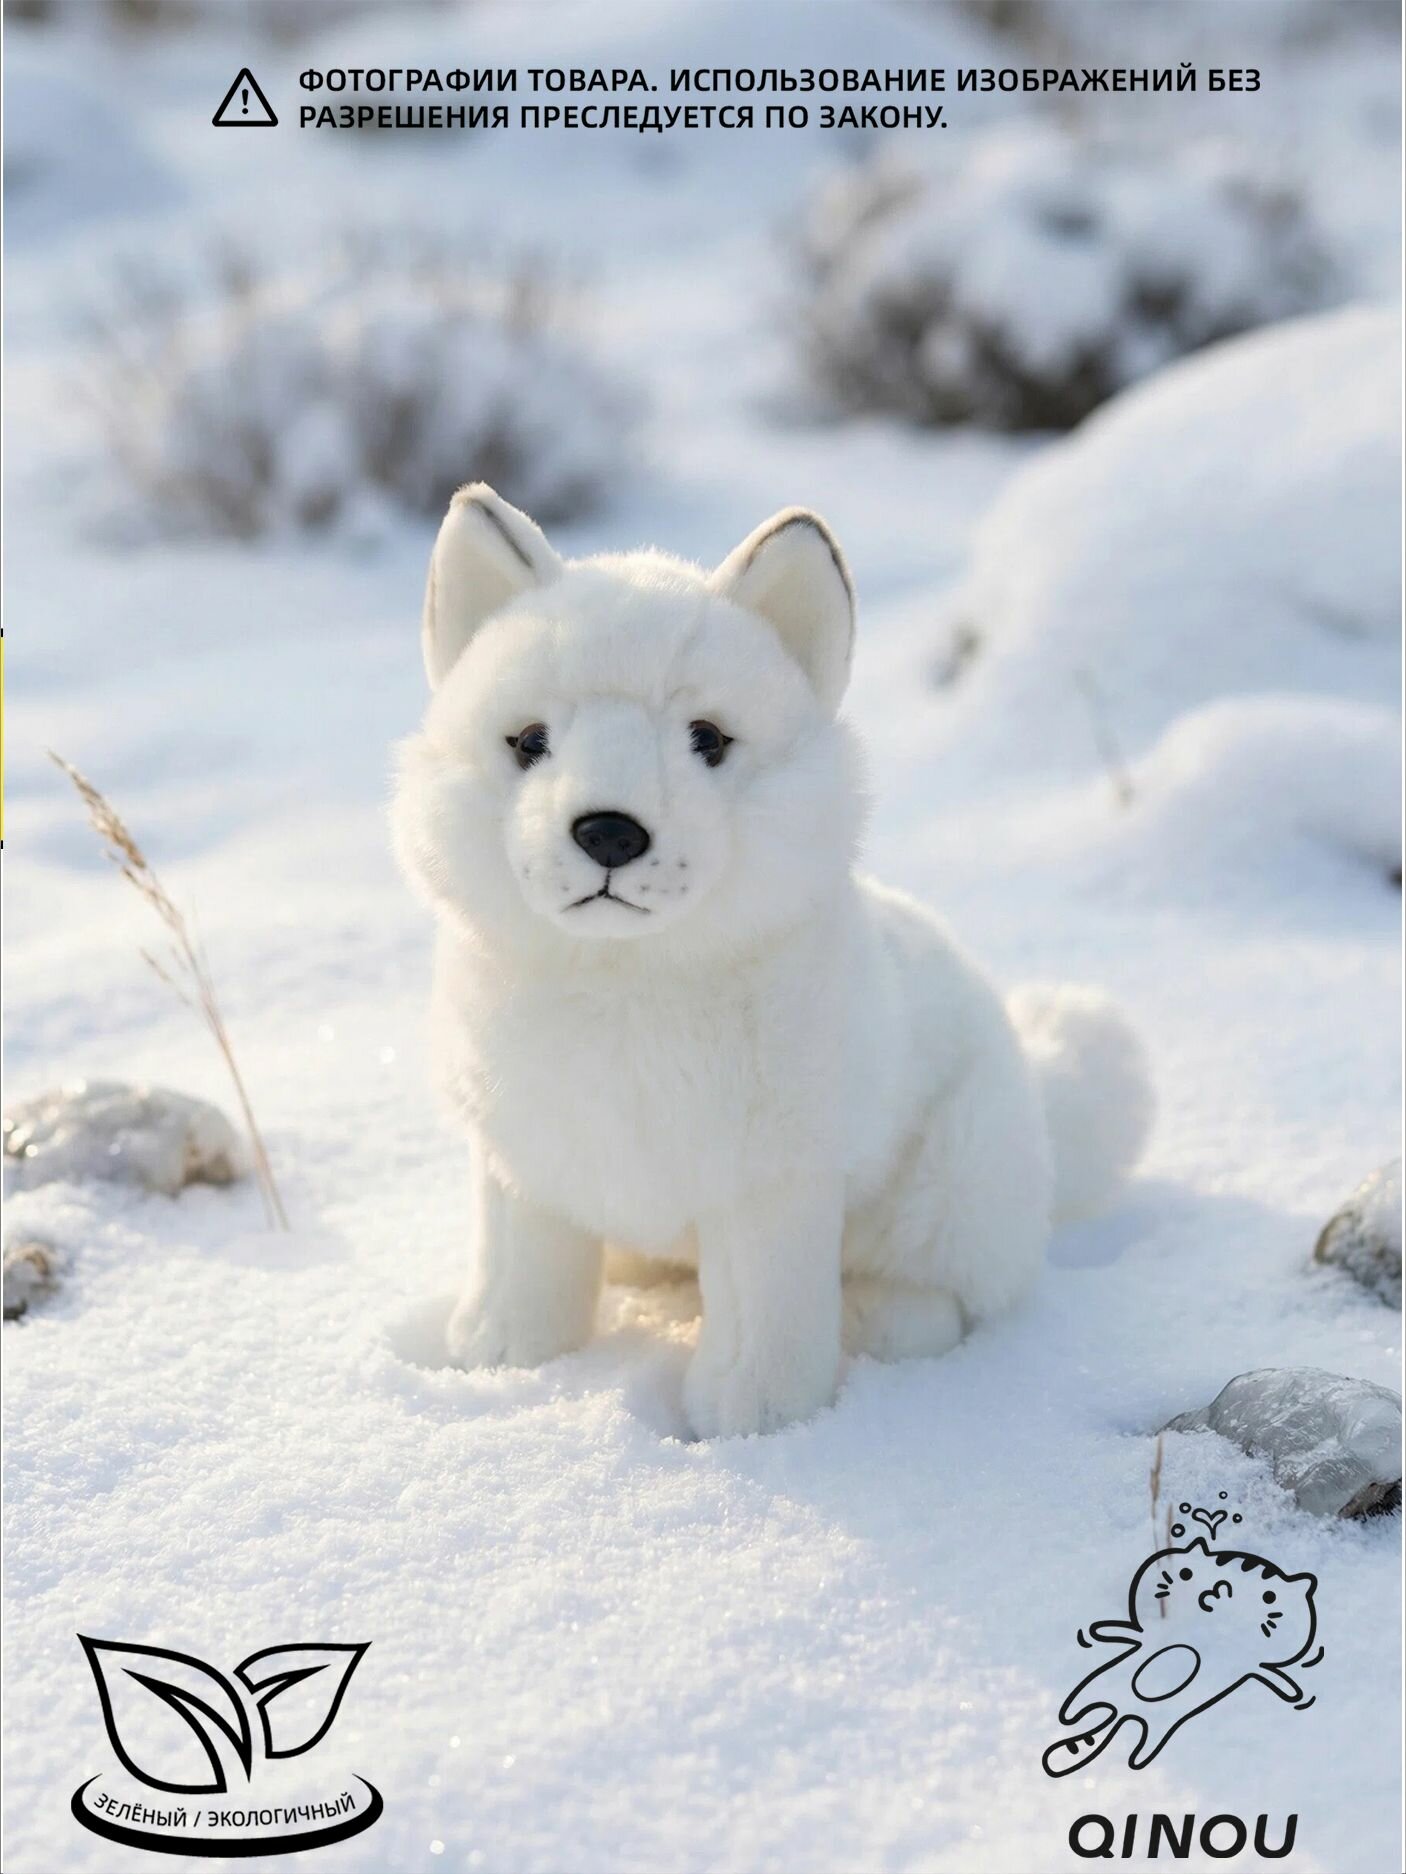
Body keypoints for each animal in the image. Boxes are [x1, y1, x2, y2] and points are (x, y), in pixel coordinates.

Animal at [392, 484, 1153, 1437]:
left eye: (708, 739)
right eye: (529, 742)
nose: (609, 832)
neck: (624, 988)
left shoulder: (774, 1184)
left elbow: (767, 1312)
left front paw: (753, 1419)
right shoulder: (523, 1165)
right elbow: (526, 1277)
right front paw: (500, 1364)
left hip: (953, 1183)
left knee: (946, 1301)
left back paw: (871, 1317)